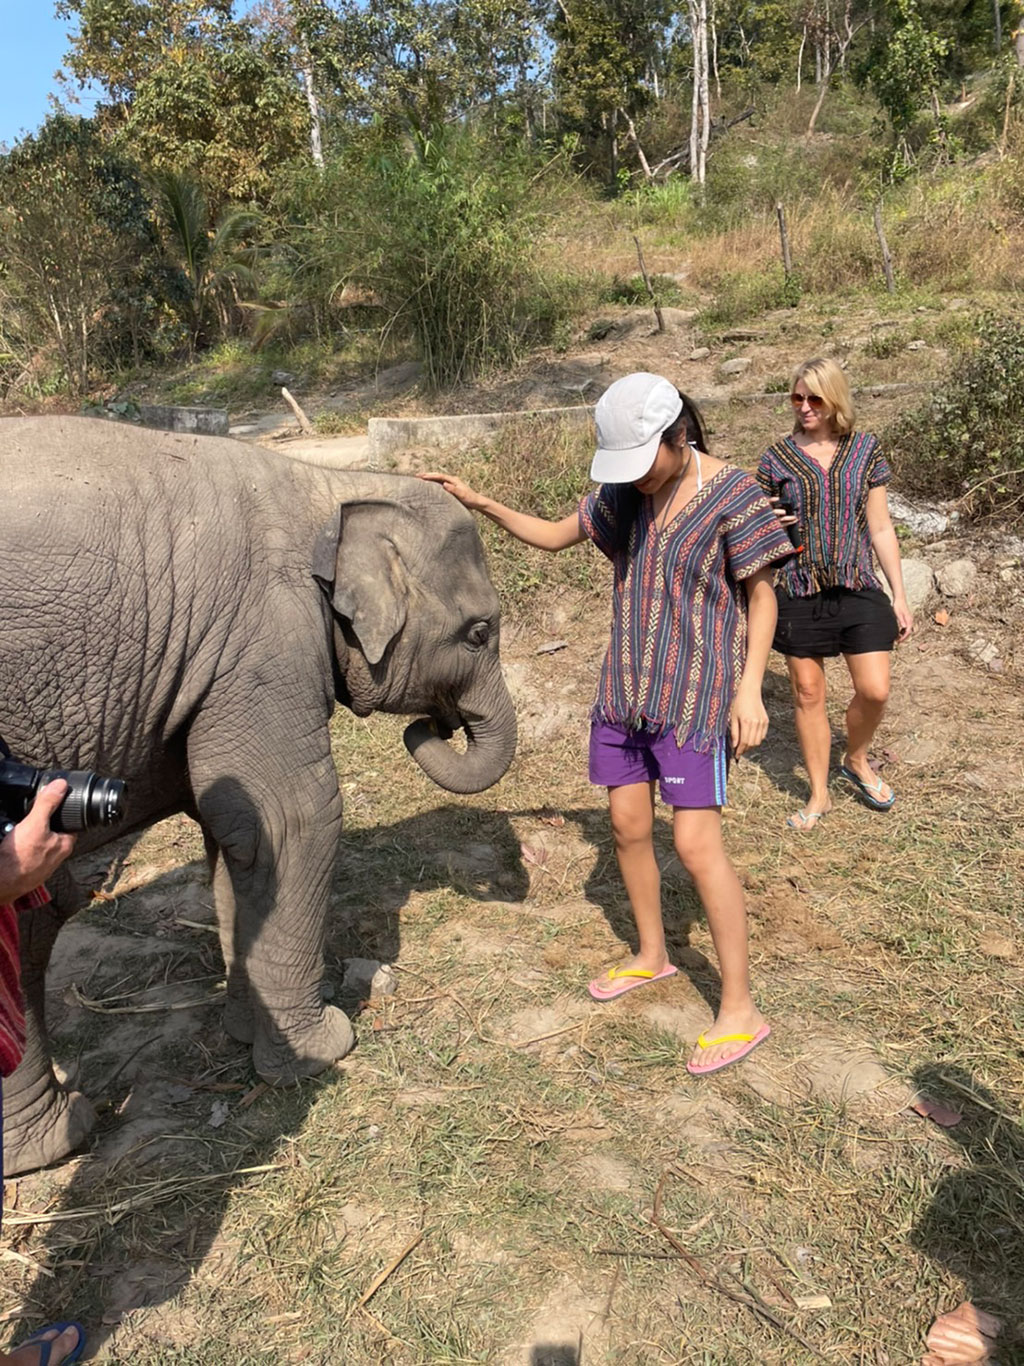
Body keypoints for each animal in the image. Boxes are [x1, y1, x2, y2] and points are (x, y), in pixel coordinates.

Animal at [0, 416, 516, 1174]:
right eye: (478, 633)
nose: (431, 724)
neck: (332, 489)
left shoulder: (214, 666)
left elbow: (236, 834)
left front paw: (247, 1033)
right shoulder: (264, 637)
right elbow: (293, 817)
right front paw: (321, 1051)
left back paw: (53, 1136)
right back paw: (58, 1141)